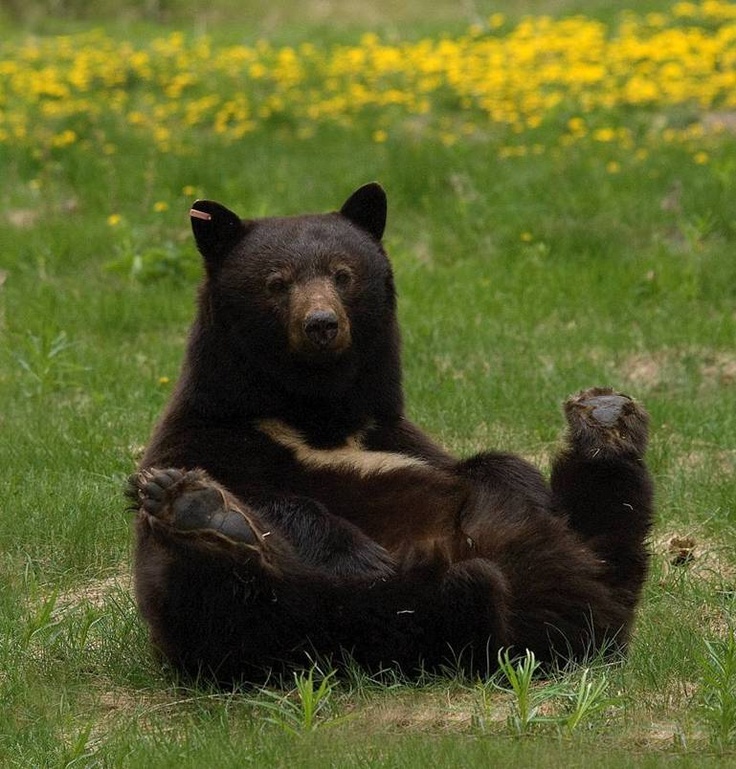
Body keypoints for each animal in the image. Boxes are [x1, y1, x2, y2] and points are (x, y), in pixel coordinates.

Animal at [129, 182, 654, 685]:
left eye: (342, 274)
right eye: (277, 282)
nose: (322, 324)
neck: (315, 414)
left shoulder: (391, 434)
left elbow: (488, 466)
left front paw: (526, 484)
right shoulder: (209, 433)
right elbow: (269, 494)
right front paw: (363, 557)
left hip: (584, 574)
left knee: (610, 536)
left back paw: (604, 423)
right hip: (323, 630)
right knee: (233, 600)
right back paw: (204, 516)